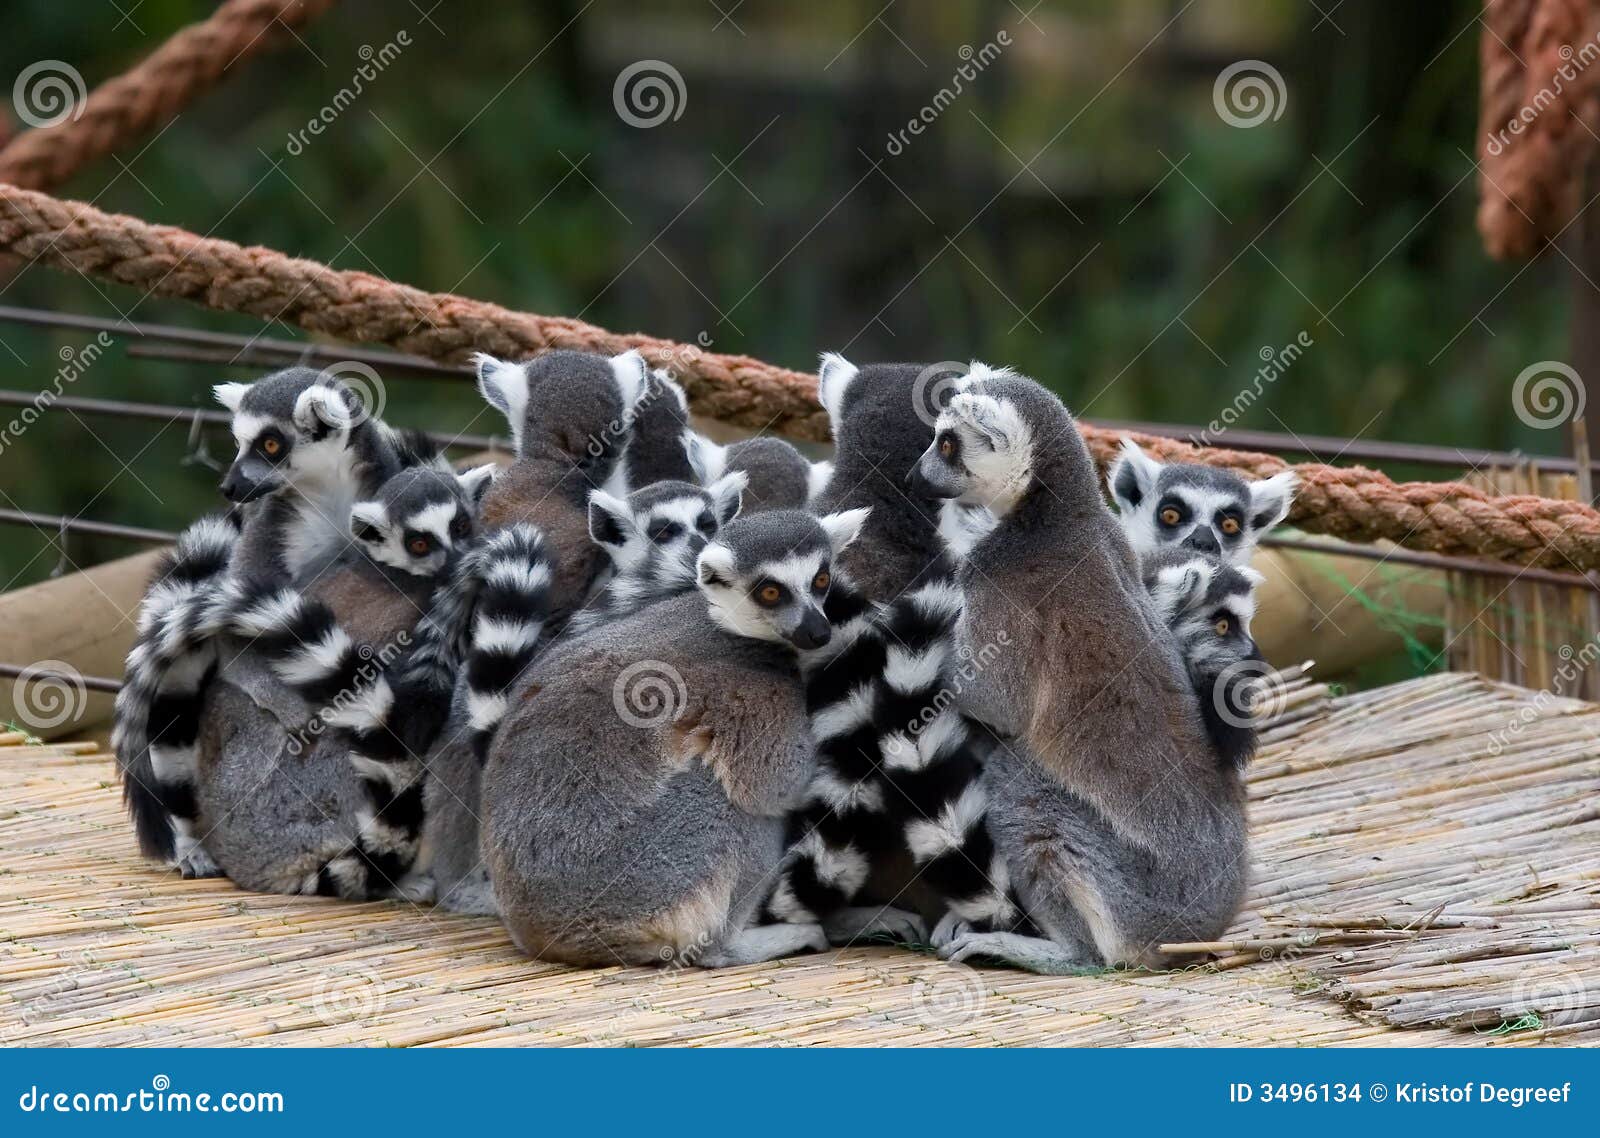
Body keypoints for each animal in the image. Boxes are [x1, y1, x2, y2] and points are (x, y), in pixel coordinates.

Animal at [479, 507, 870, 967]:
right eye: (771, 592)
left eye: (821, 580)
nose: (817, 632)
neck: (723, 623)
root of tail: (538, 932)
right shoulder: (750, 687)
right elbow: (773, 785)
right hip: (642, 878)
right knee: (729, 805)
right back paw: (734, 946)